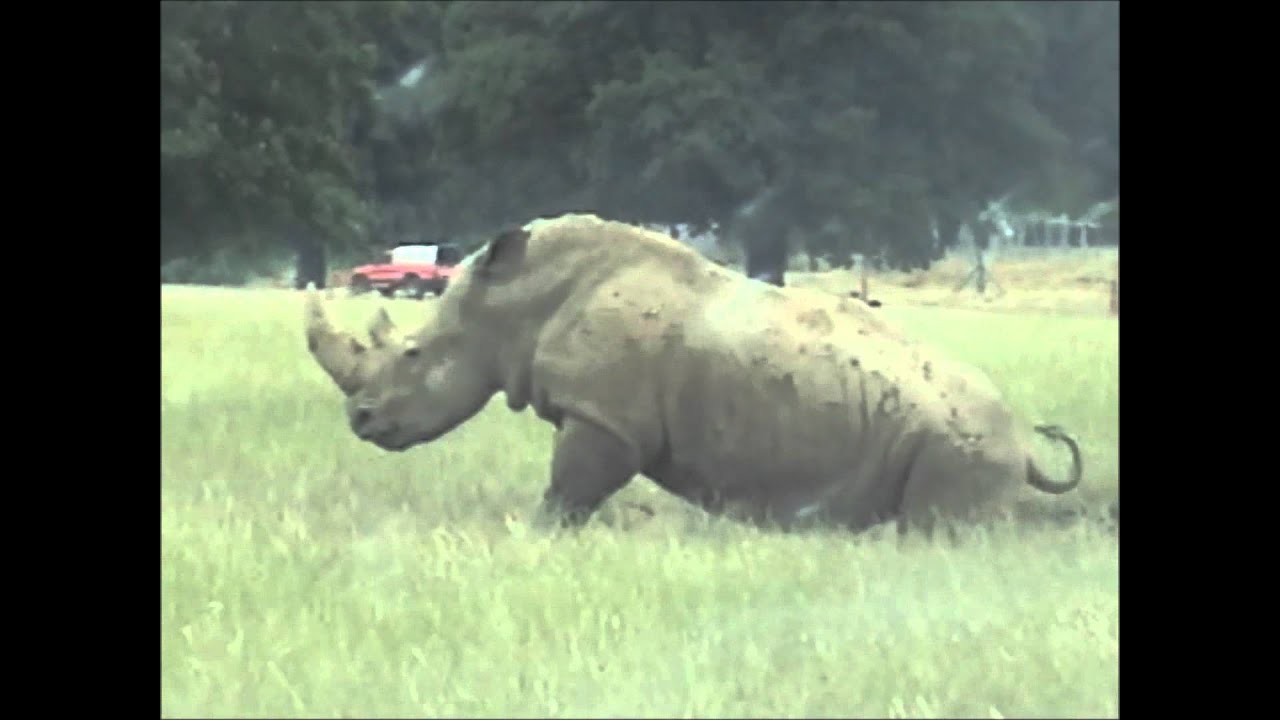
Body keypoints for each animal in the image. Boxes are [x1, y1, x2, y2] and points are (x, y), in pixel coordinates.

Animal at [304, 213, 1082, 535]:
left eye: (411, 355)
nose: (359, 421)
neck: (518, 299)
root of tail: (1025, 443)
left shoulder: (605, 418)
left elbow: (567, 493)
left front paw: (537, 535)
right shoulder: (606, 415)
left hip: (964, 441)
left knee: (938, 531)